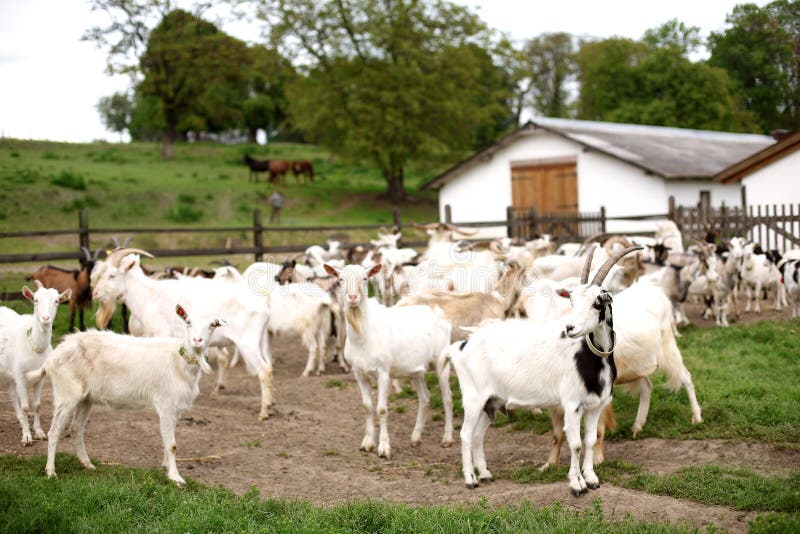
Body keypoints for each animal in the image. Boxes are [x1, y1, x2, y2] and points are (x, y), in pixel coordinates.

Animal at [0, 282, 71, 445]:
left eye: (57, 301)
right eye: (35, 300)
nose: (45, 318)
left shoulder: (41, 376)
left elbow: (37, 405)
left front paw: (39, 432)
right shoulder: (19, 375)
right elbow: (26, 407)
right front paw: (26, 437)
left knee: (12, 394)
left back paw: (21, 421)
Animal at [28, 305, 224, 487]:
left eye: (213, 325)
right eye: (188, 322)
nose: (197, 340)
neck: (179, 361)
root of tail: (53, 357)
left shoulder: (174, 407)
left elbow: (167, 440)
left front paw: (166, 468)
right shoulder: (166, 402)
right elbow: (172, 444)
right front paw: (176, 478)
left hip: (85, 397)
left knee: (76, 428)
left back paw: (87, 464)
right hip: (66, 393)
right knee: (54, 431)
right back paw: (51, 472)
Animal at [324, 263, 453, 457]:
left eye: (365, 278)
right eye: (340, 279)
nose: (353, 297)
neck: (364, 334)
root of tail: (439, 313)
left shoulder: (383, 371)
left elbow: (382, 409)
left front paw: (384, 447)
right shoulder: (358, 372)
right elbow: (367, 406)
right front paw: (367, 443)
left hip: (441, 360)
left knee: (447, 397)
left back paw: (447, 439)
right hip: (416, 369)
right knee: (425, 397)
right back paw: (416, 438)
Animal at [441, 245, 640, 495]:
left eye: (597, 303)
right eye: (572, 301)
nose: (570, 328)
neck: (590, 358)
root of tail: (462, 346)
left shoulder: (596, 405)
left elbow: (590, 440)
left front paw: (592, 479)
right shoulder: (572, 404)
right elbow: (576, 444)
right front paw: (577, 484)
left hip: (492, 402)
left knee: (477, 435)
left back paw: (485, 474)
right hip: (473, 397)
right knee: (466, 434)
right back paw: (470, 479)